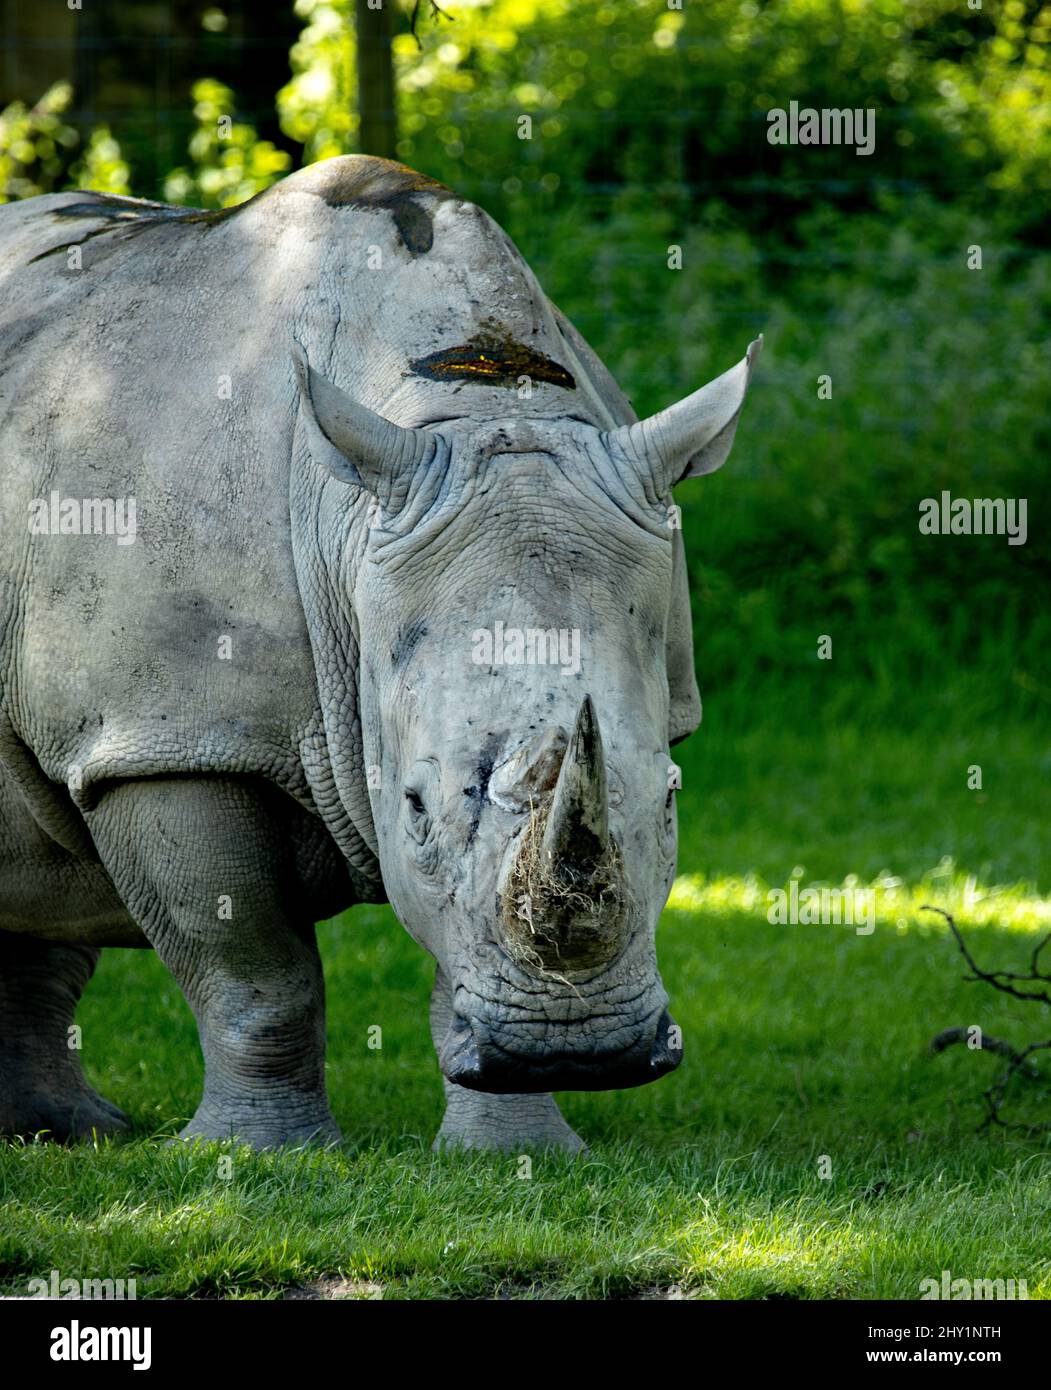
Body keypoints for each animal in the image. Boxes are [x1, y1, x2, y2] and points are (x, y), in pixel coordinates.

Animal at [0, 156, 759, 1152]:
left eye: (670, 802)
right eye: (413, 808)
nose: (577, 1049)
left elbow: (455, 940)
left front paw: (517, 1153)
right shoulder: (163, 735)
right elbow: (252, 970)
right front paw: (261, 1156)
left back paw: (65, 1131)